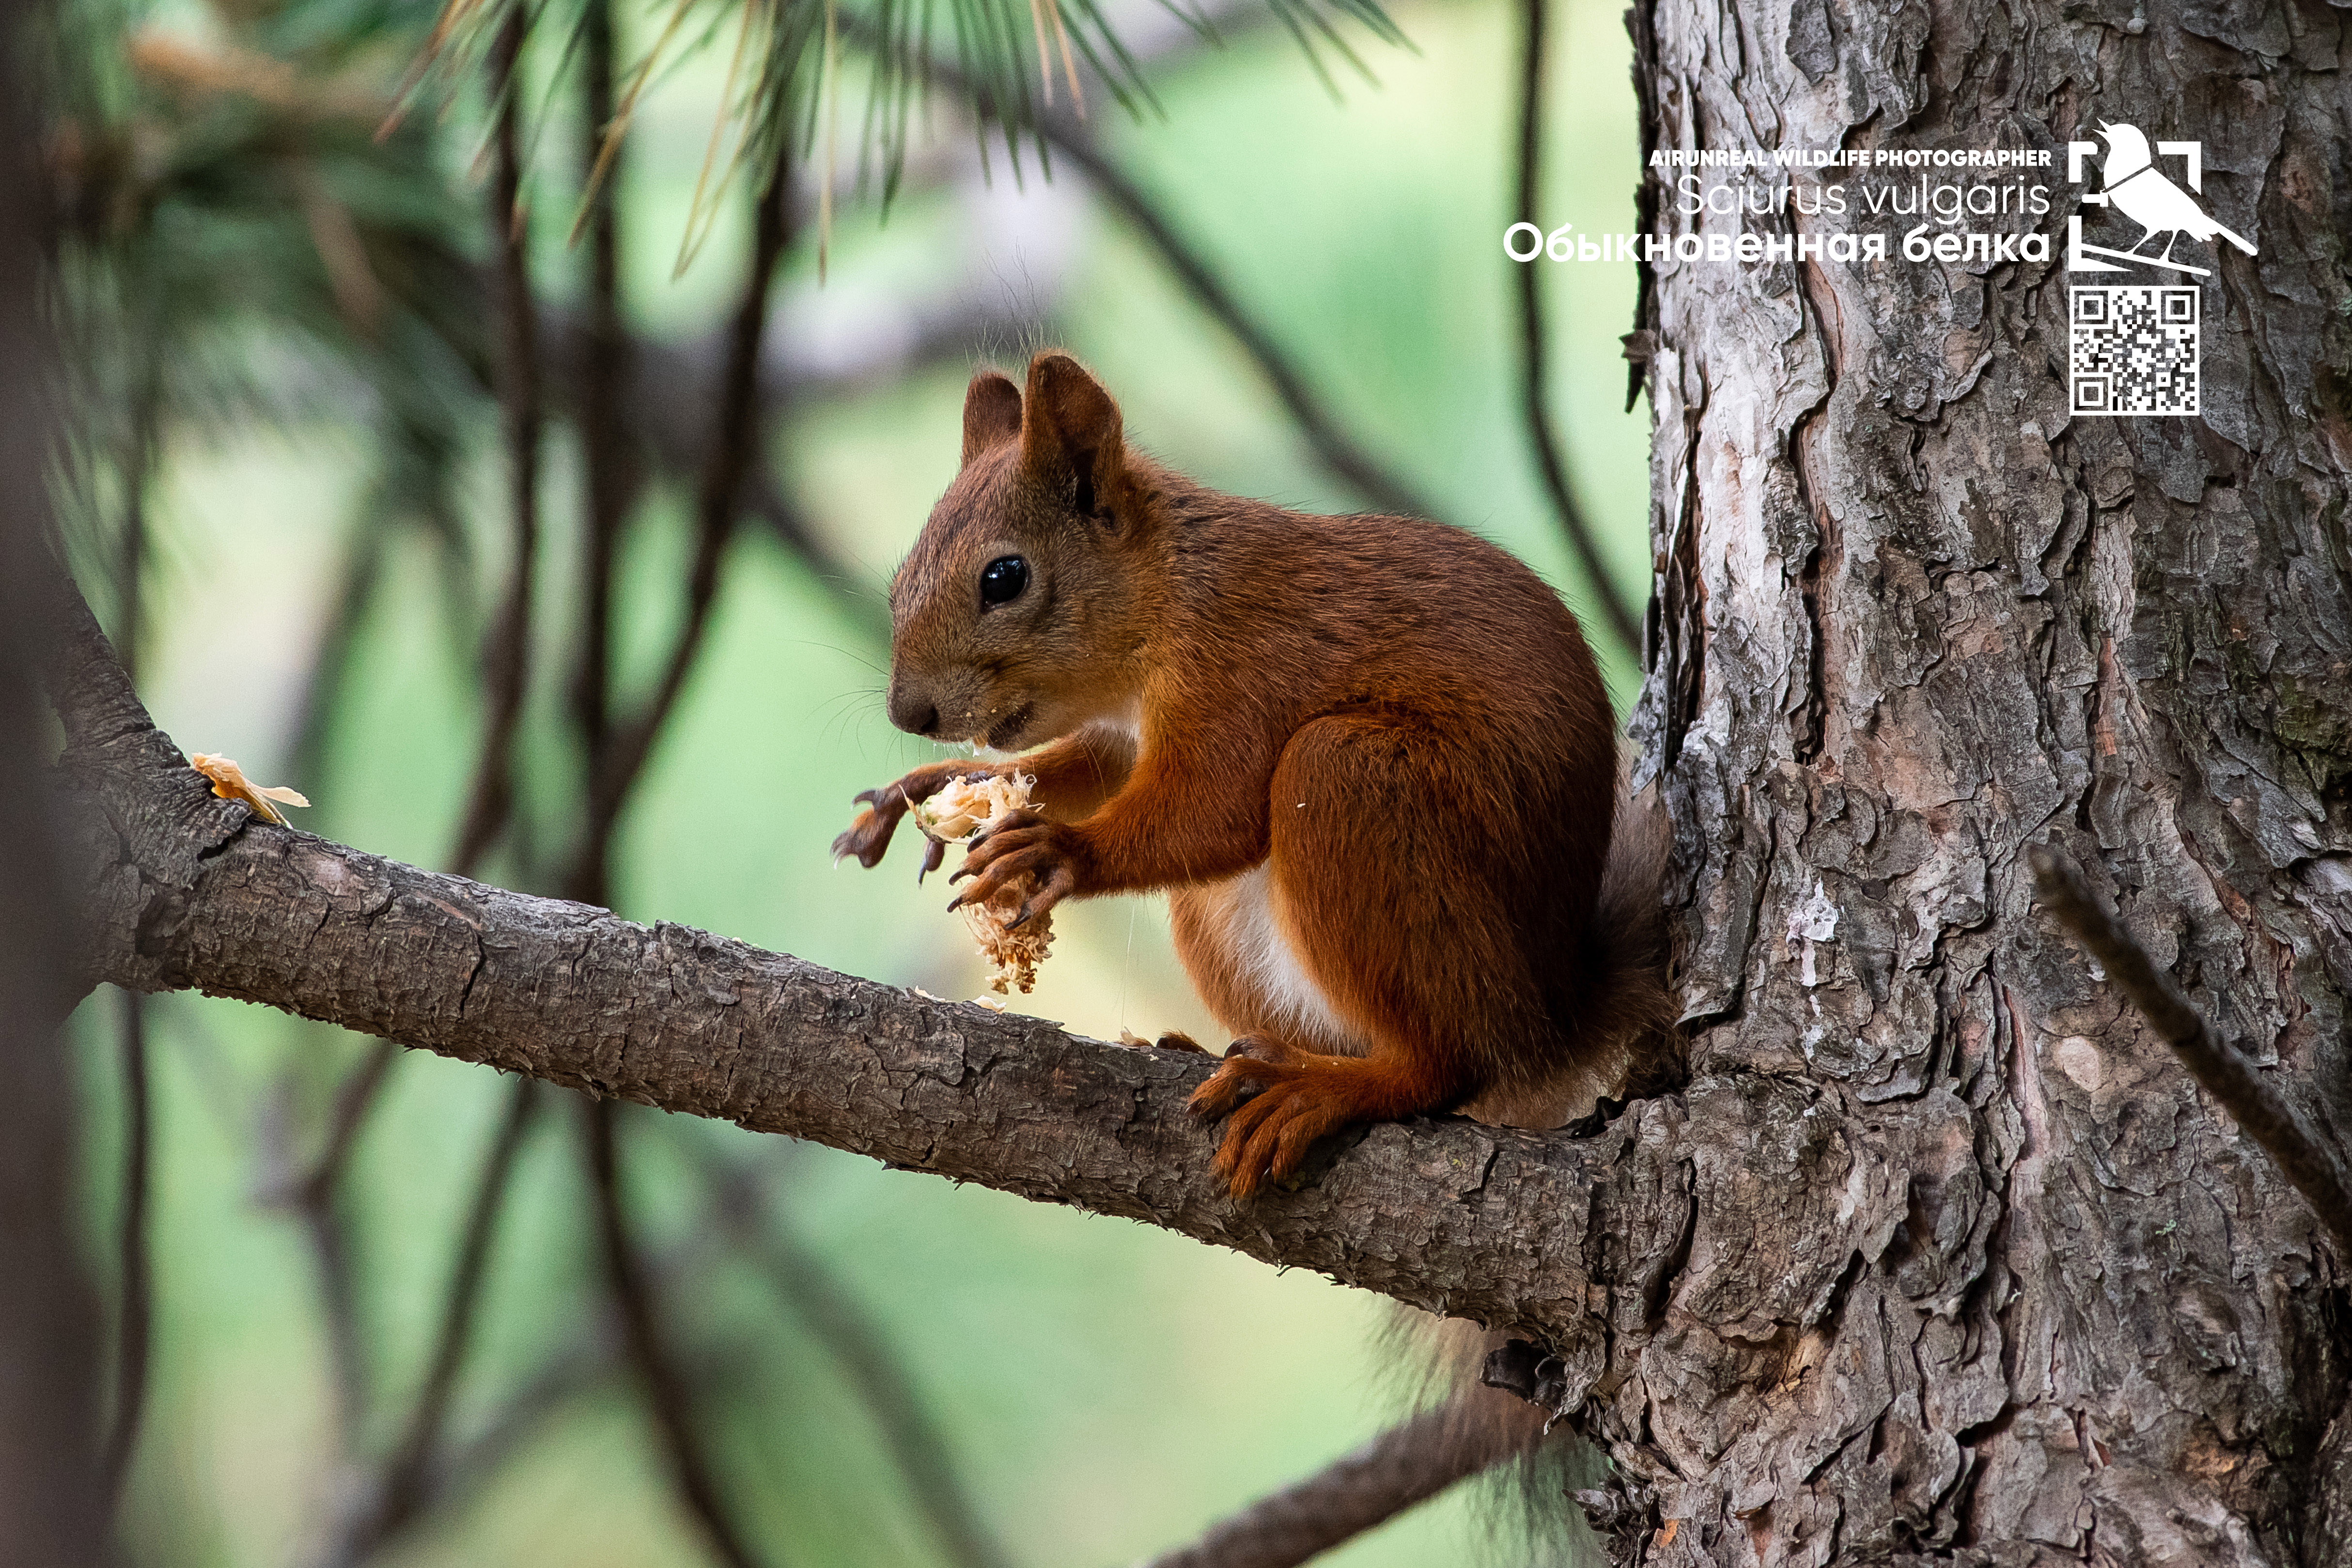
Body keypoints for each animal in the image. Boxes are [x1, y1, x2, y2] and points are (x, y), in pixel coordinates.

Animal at [827, 350, 1674, 1194]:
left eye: (1004, 578)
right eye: (901, 579)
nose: (908, 713)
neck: (1167, 591)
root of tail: (1550, 1018)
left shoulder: (1241, 664)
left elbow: (1215, 808)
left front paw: (1060, 850)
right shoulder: (1123, 734)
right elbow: (1096, 773)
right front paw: (923, 791)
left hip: (1355, 784)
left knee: (1449, 1065)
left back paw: (1324, 1087)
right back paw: (1232, 1053)